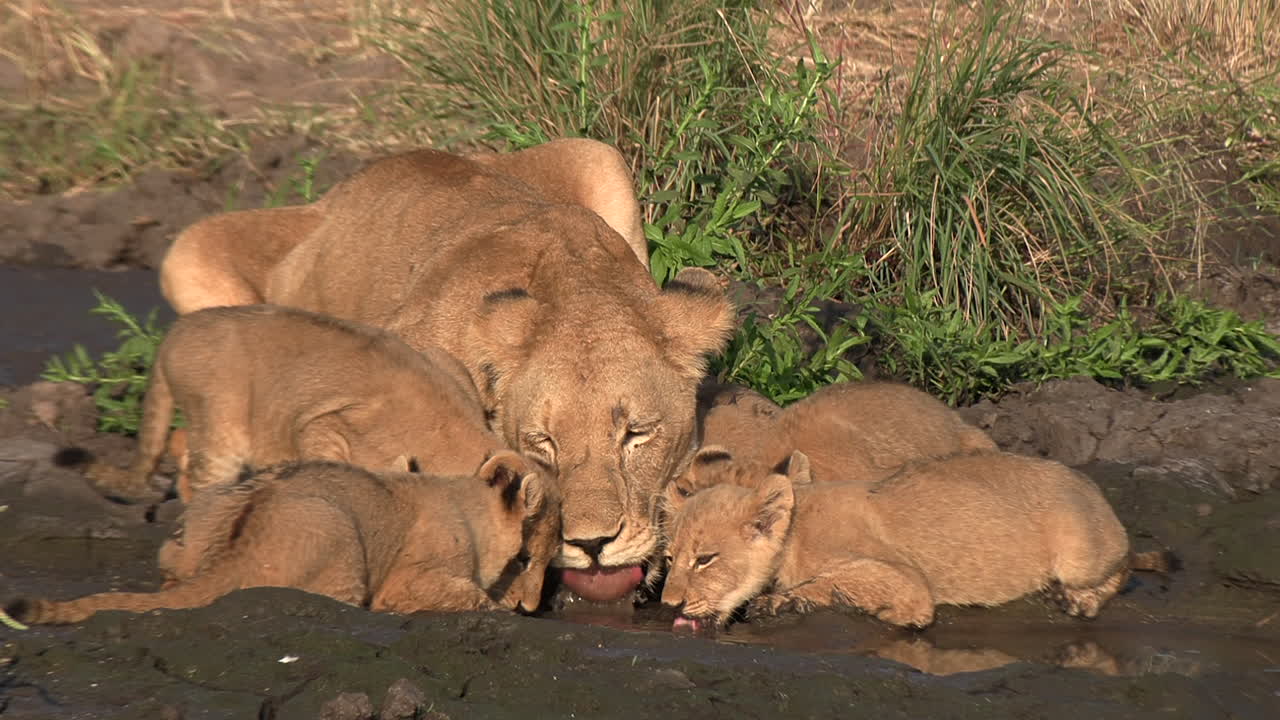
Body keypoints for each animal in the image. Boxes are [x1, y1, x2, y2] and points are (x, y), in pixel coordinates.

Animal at [7, 451, 560, 624]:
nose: (532, 607)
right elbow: (470, 597)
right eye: (525, 559)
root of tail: (231, 555)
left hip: (196, 523)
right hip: (342, 547)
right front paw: (500, 606)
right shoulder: (406, 585)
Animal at [78, 305, 500, 503]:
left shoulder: (448, 363)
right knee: (203, 478)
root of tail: (178, 328)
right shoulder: (325, 423)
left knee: (179, 445)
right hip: (221, 423)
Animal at [157, 142, 737, 602]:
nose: (591, 545)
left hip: (599, 155)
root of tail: (341, 192)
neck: (575, 287)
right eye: (543, 443)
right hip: (186, 253)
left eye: (637, 435)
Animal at [661, 449, 1173, 630]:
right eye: (670, 558)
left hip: (1082, 551)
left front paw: (780, 602)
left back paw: (1076, 601)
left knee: (1123, 570)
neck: (795, 531)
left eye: (705, 559)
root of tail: (1095, 492)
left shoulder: (910, 582)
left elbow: (839, 582)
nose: (668, 605)